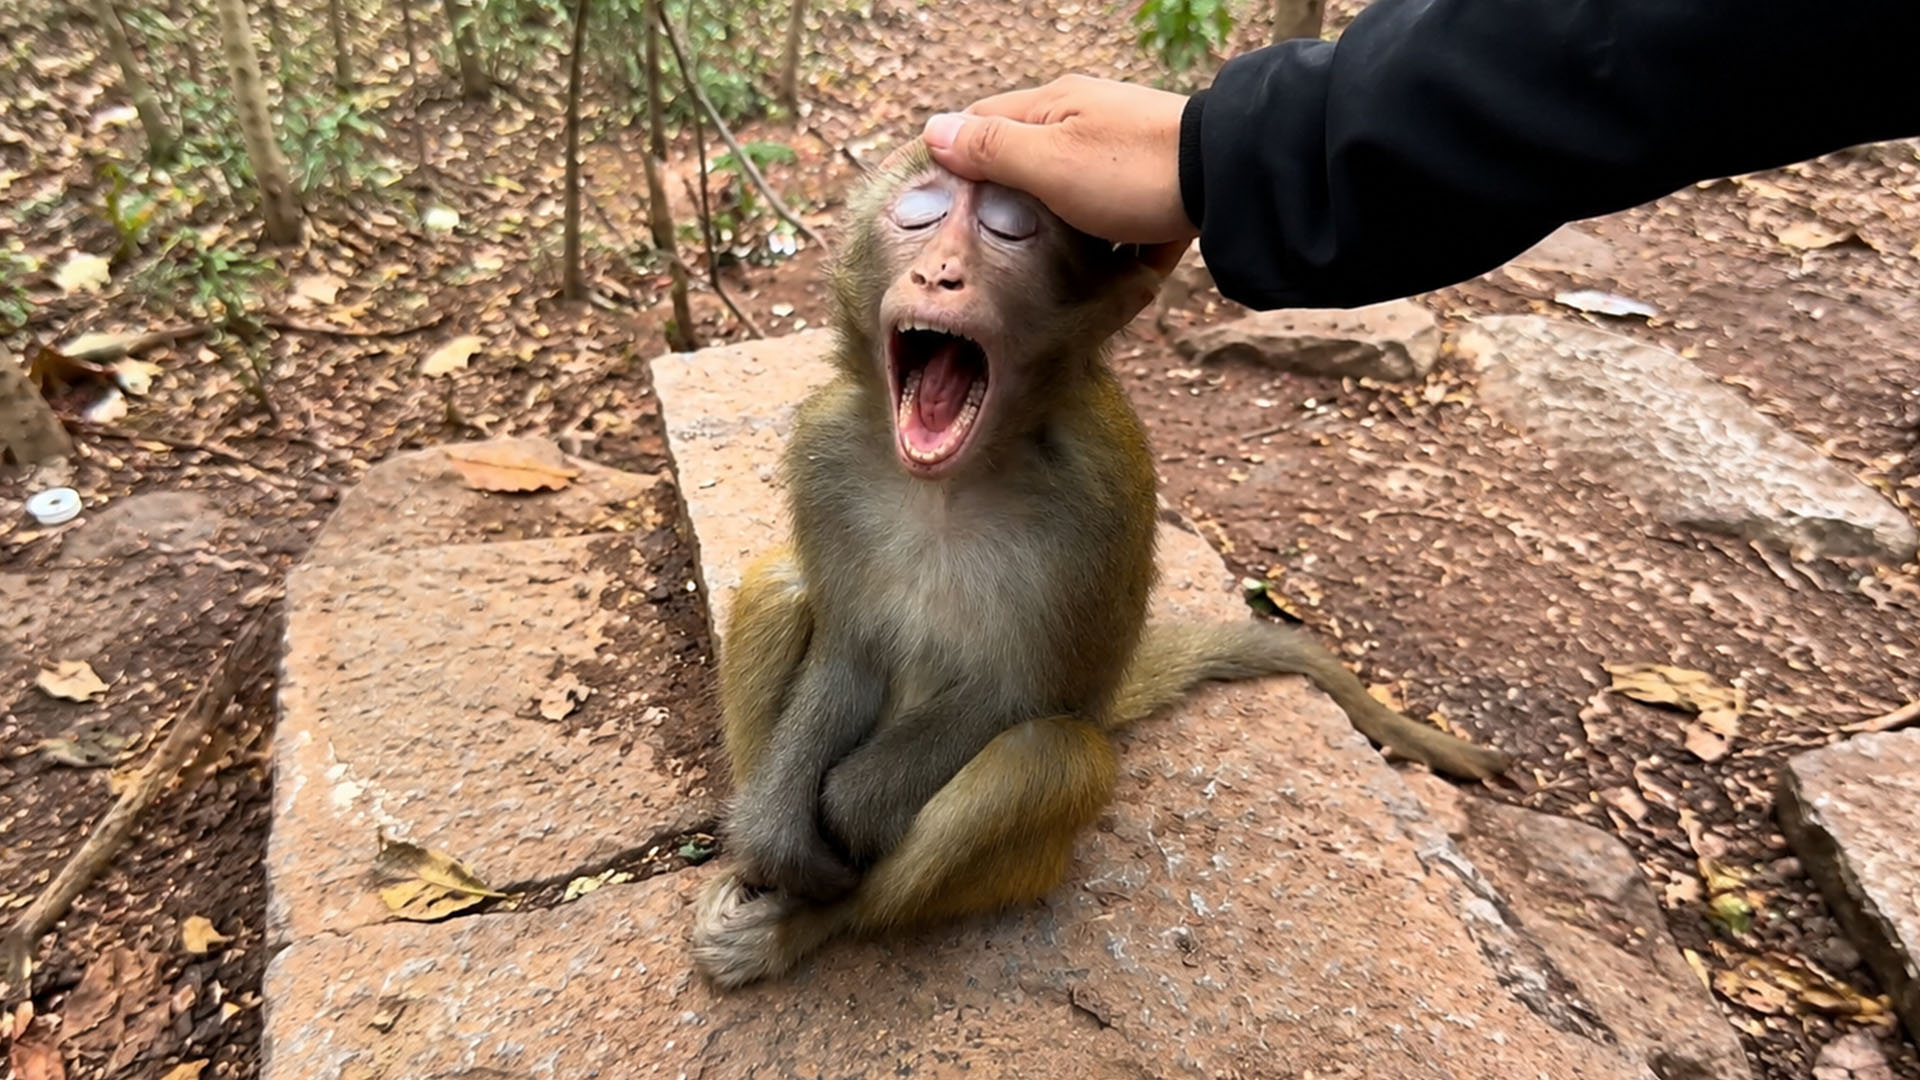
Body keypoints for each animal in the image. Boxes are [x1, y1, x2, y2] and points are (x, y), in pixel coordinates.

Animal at [689, 141, 1510, 990]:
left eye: (1007, 230)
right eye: (918, 216)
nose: (940, 274)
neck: (952, 483)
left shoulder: (1106, 494)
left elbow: (1036, 695)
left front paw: (850, 814)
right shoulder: (825, 449)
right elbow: (849, 652)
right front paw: (777, 836)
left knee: (1051, 758)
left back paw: (814, 922)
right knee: (780, 585)